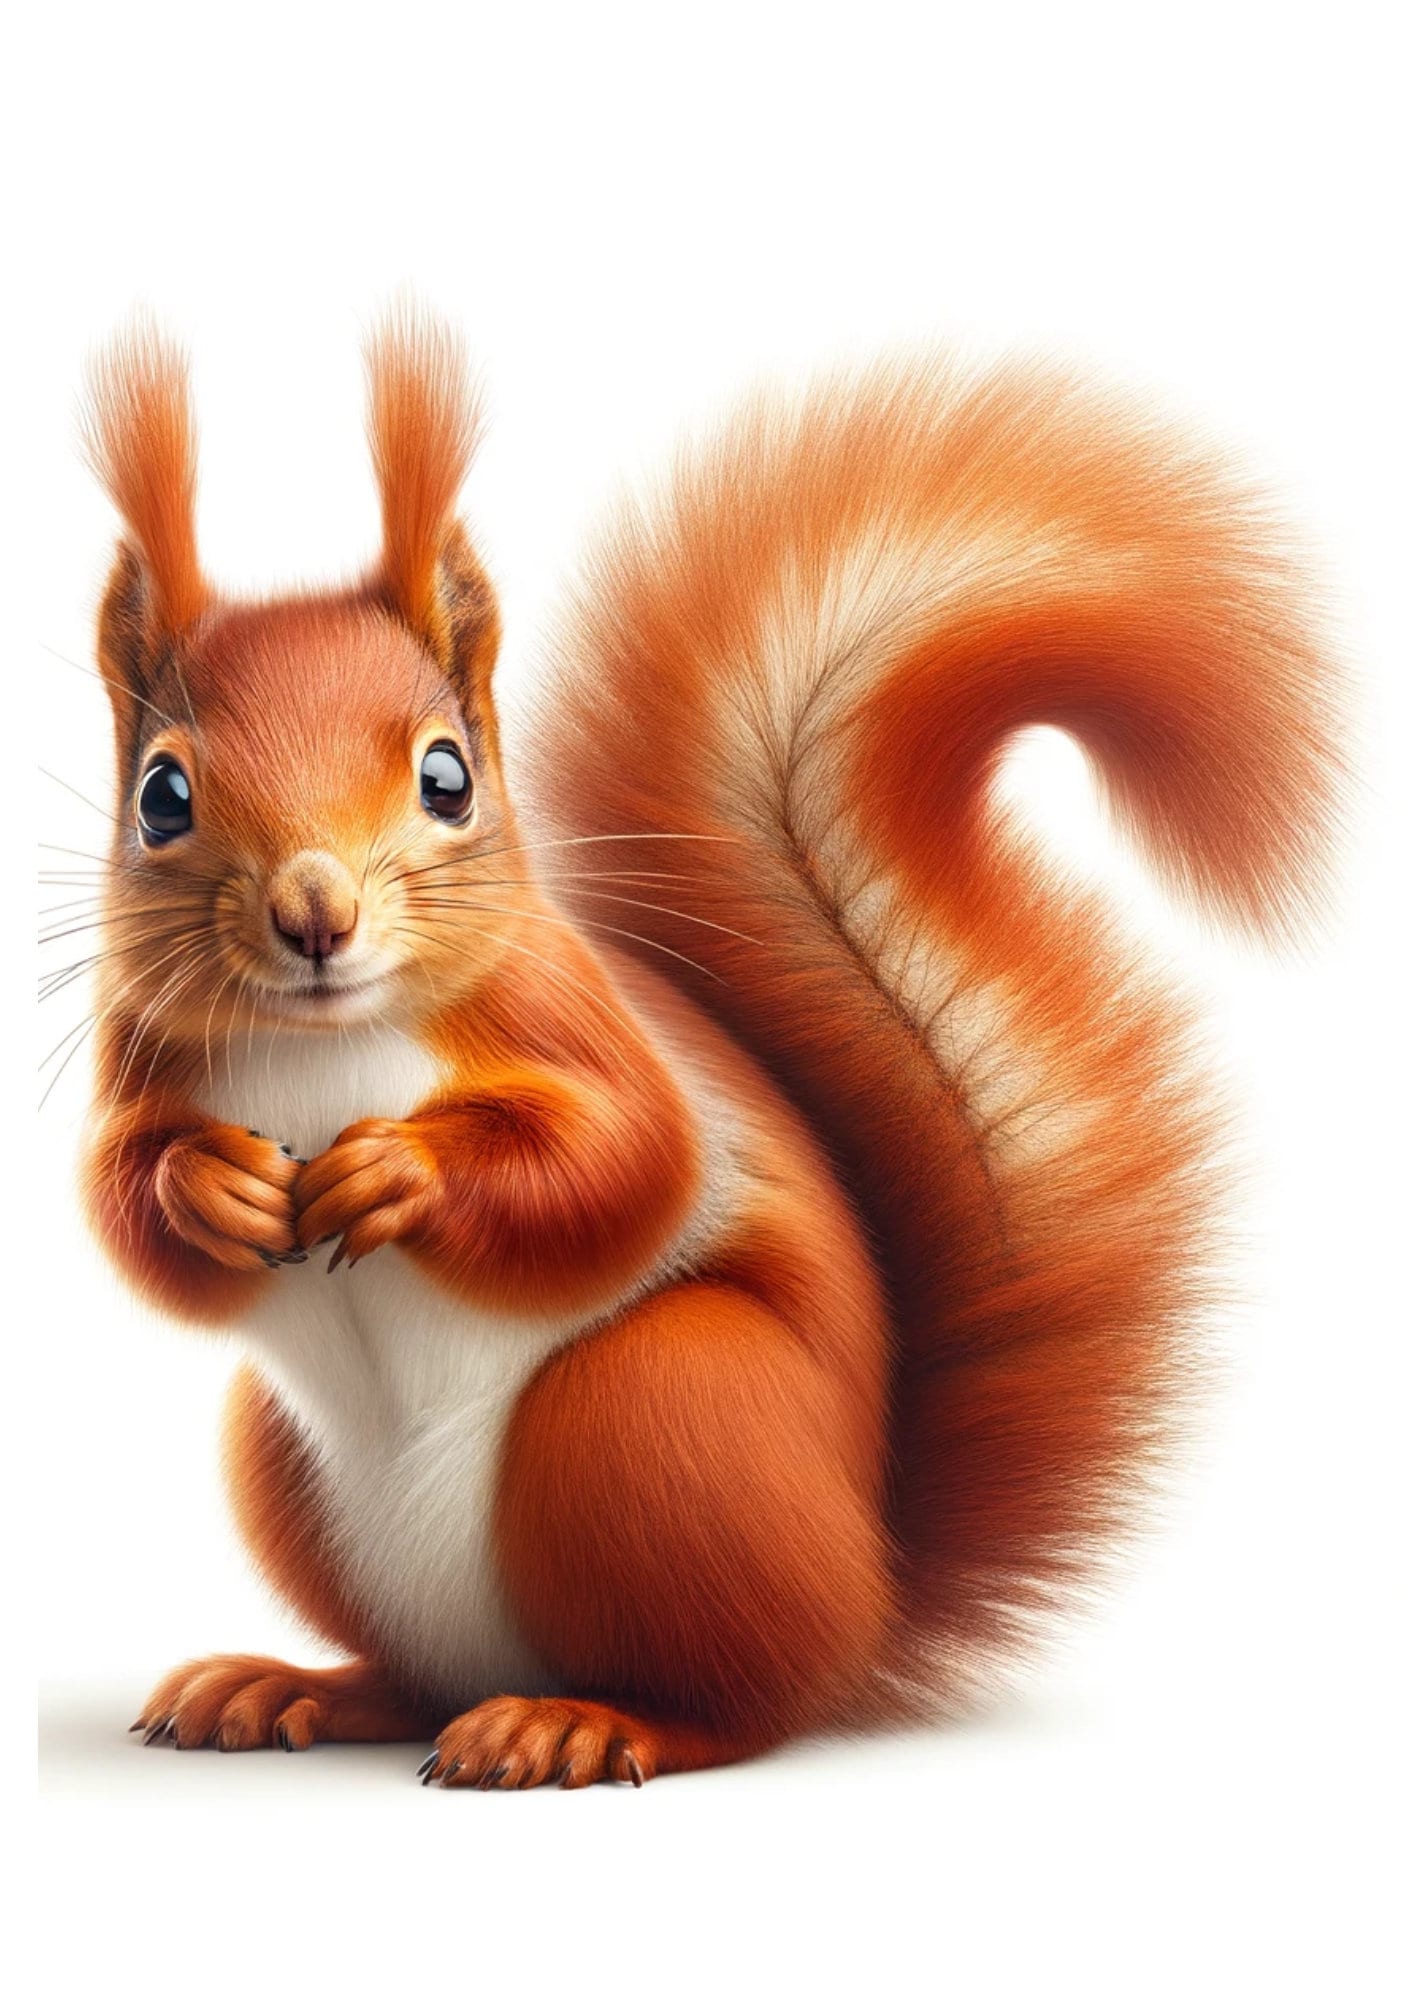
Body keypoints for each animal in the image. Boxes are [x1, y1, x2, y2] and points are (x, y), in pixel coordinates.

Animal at [74, 312, 1340, 1787]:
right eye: (161, 796)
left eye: (448, 777)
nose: (313, 914)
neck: (322, 1037)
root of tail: (869, 1589)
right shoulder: (141, 1058)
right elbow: (123, 1207)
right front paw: (207, 1184)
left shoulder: (568, 1017)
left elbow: (624, 1163)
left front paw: (399, 1171)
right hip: (286, 1467)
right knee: (418, 1676)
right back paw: (294, 1686)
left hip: (656, 1410)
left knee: (735, 1702)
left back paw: (578, 1720)